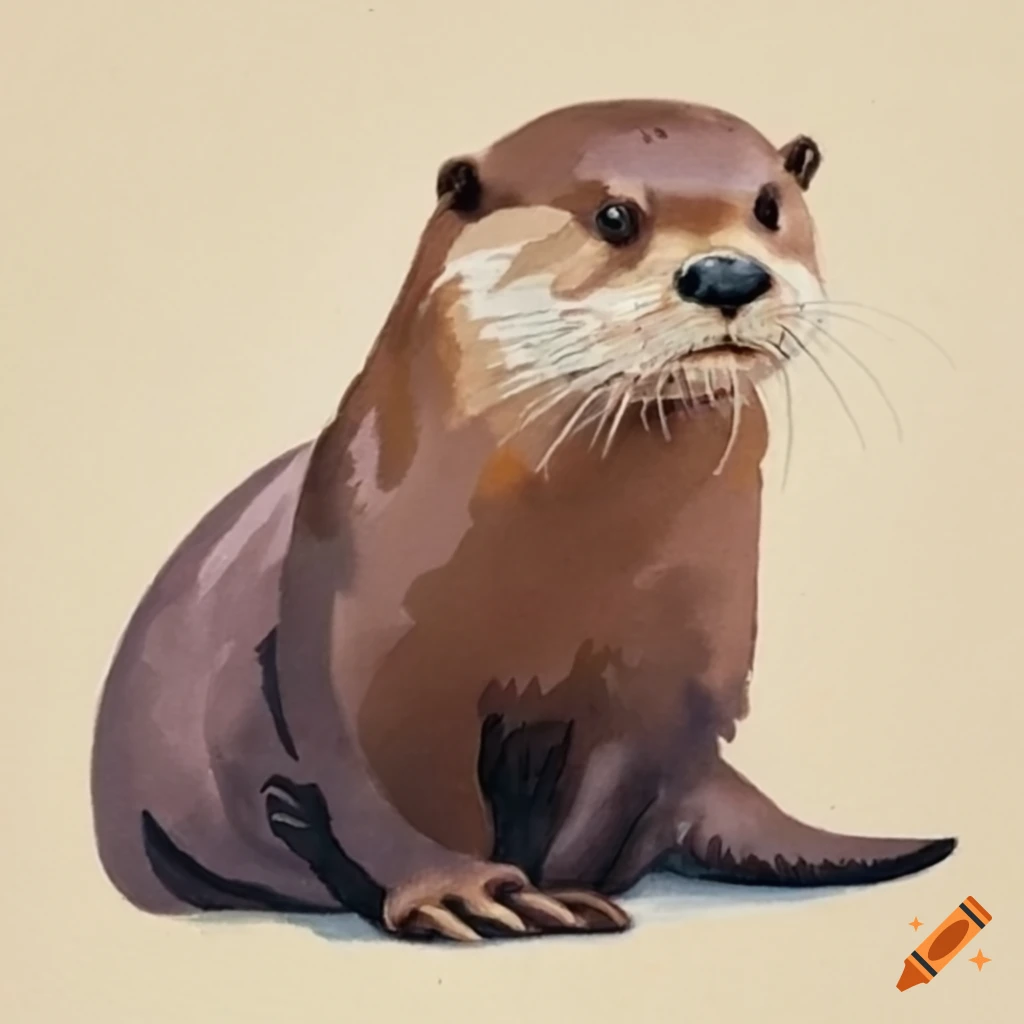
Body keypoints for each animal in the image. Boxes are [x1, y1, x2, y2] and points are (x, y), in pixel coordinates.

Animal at [91, 99, 955, 942]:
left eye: (770, 206)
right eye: (614, 216)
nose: (726, 272)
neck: (559, 564)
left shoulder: (676, 680)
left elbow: (613, 792)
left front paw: (564, 892)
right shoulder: (347, 633)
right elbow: (377, 785)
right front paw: (466, 893)